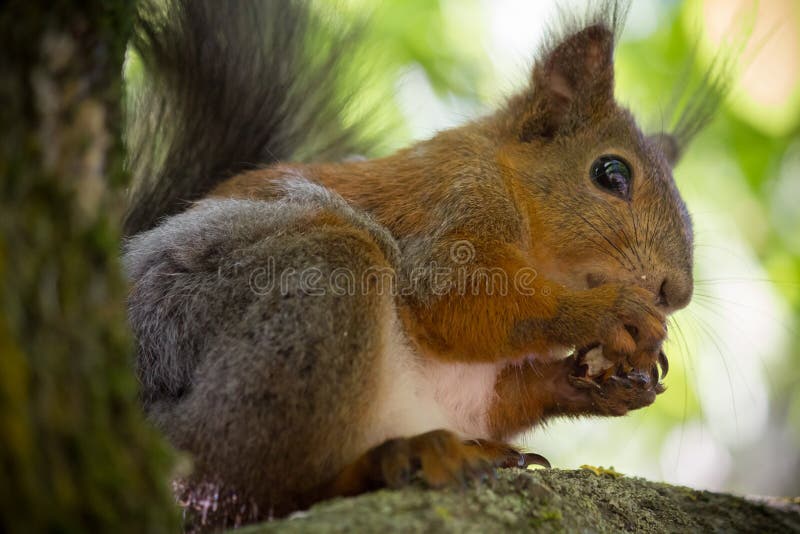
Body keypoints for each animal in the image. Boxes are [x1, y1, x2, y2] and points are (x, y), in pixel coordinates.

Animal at [123, 0, 725, 528]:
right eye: (611, 173)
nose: (675, 292)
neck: (511, 183)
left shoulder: (466, 385)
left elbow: (501, 391)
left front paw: (601, 382)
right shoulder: (450, 209)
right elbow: (455, 300)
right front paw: (609, 311)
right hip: (293, 296)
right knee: (240, 486)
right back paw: (379, 466)